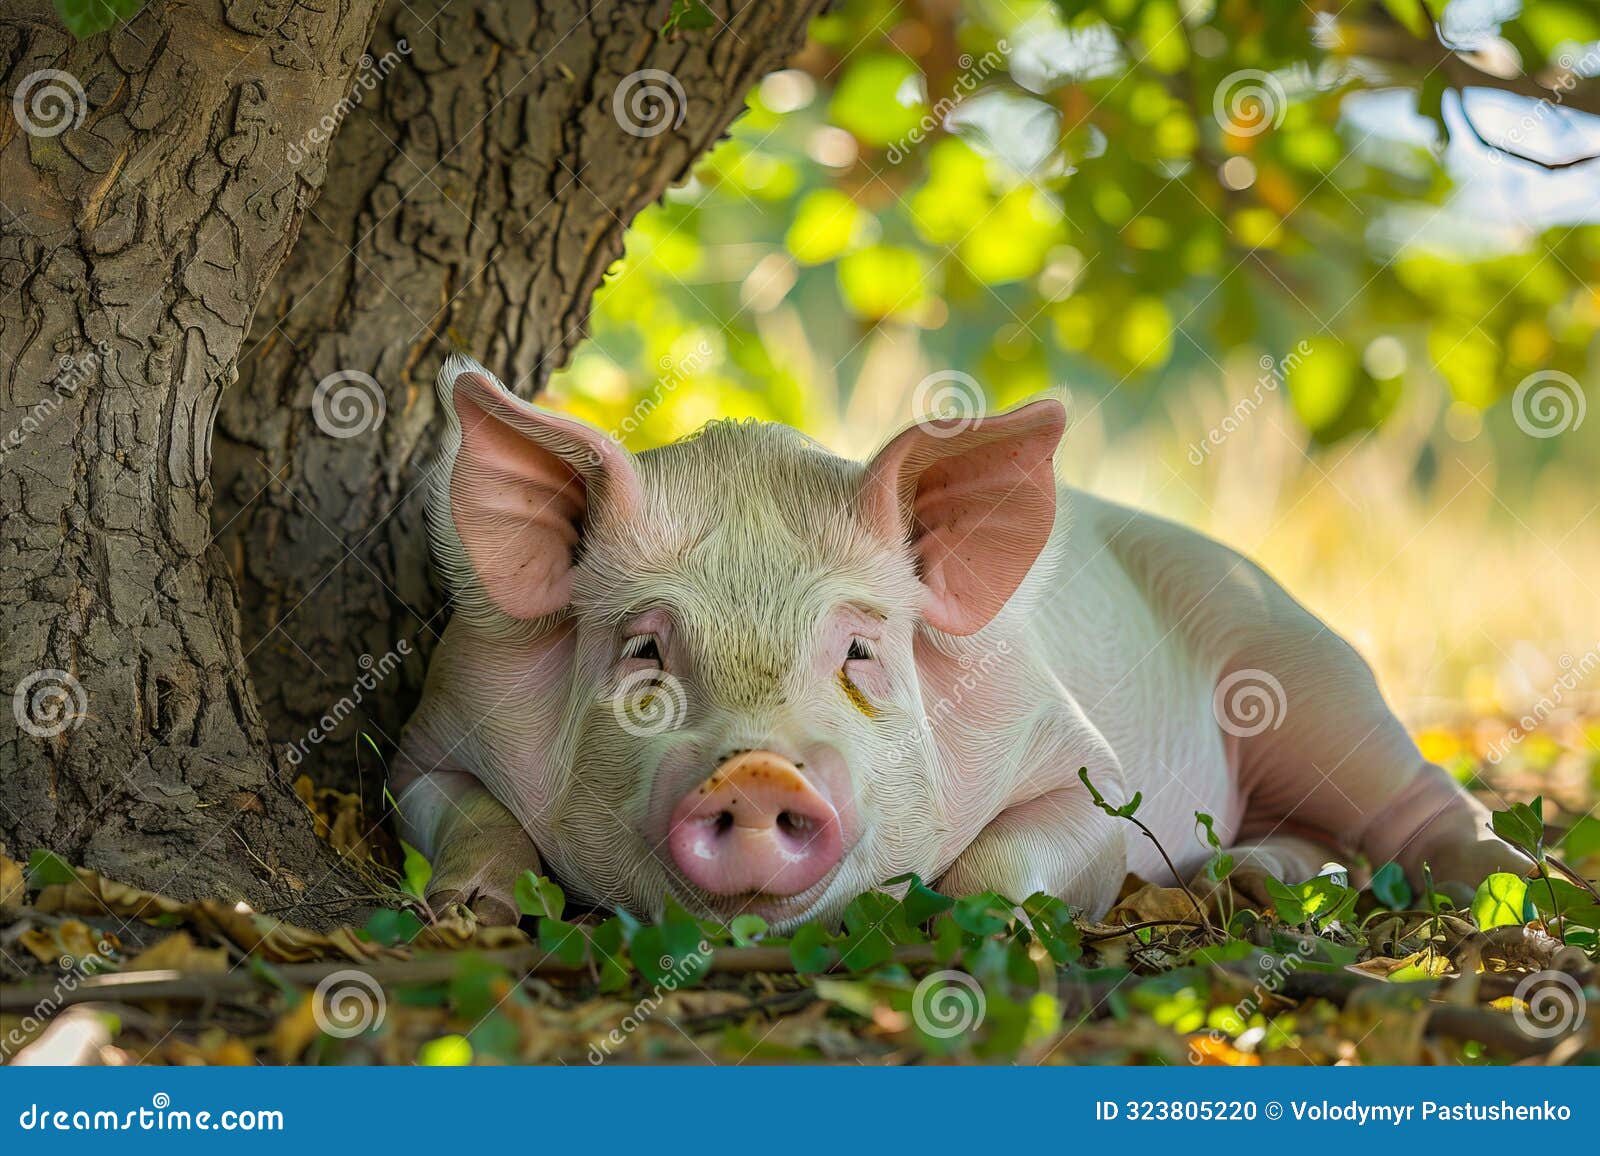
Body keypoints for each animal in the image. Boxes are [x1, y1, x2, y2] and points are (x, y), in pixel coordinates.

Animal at [391, 354, 1515, 929]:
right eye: (643, 653)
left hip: (1298, 660)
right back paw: (1241, 882)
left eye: (859, 653)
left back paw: (1500, 878)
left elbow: (1030, 846)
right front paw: (470, 910)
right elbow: (460, 807)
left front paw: (991, 926)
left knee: (1411, 801)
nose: (755, 771)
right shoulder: (434, 733)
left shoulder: (1076, 757)